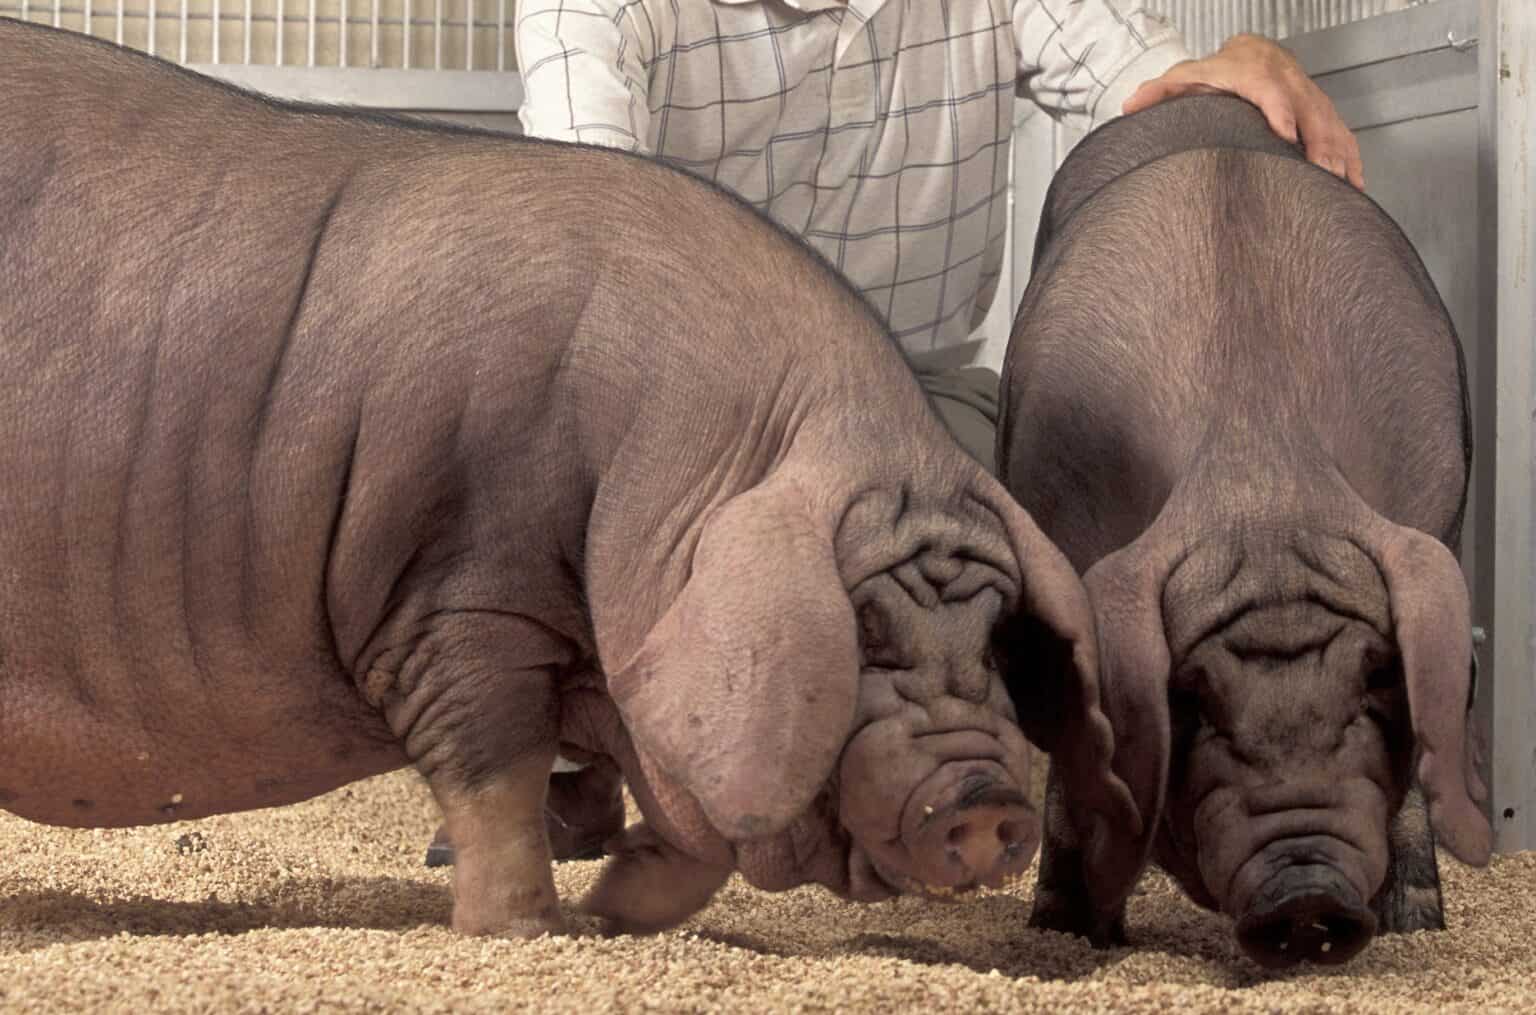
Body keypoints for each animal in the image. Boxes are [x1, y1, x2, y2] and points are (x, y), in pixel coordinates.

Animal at [0, 18, 1140, 939]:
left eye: (997, 636)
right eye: (861, 627)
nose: (990, 798)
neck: (673, 465)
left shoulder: (628, 656)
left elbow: (686, 824)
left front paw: (610, 918)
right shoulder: (457, 594)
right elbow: (497, 781)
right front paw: (530, 930)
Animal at [997, 94, 1491, 968]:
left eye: (1377, 678)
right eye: (1191, 698)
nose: (1308, 889)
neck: (1260, 470)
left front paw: (1418, 919)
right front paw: (1069, 929)